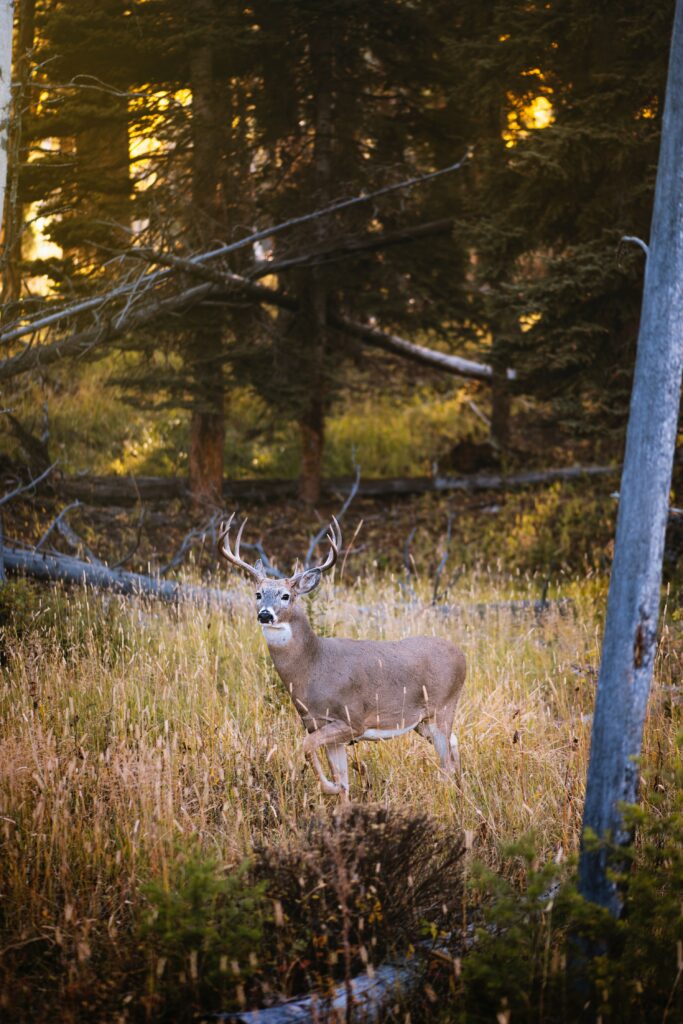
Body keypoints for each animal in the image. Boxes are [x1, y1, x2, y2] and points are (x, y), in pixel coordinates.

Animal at [218, 513, 466, 799]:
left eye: (286, 595)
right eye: (258, 594)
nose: (265, 614)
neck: (312, 666)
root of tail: (463, 656)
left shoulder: (351, 720)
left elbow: (306, 746)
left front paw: (329, 787)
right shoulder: (318, 723)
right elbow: (342, 777)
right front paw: (340, 795)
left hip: (443, 706)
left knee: (446, 762)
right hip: (421, 721)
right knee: (454, 744)